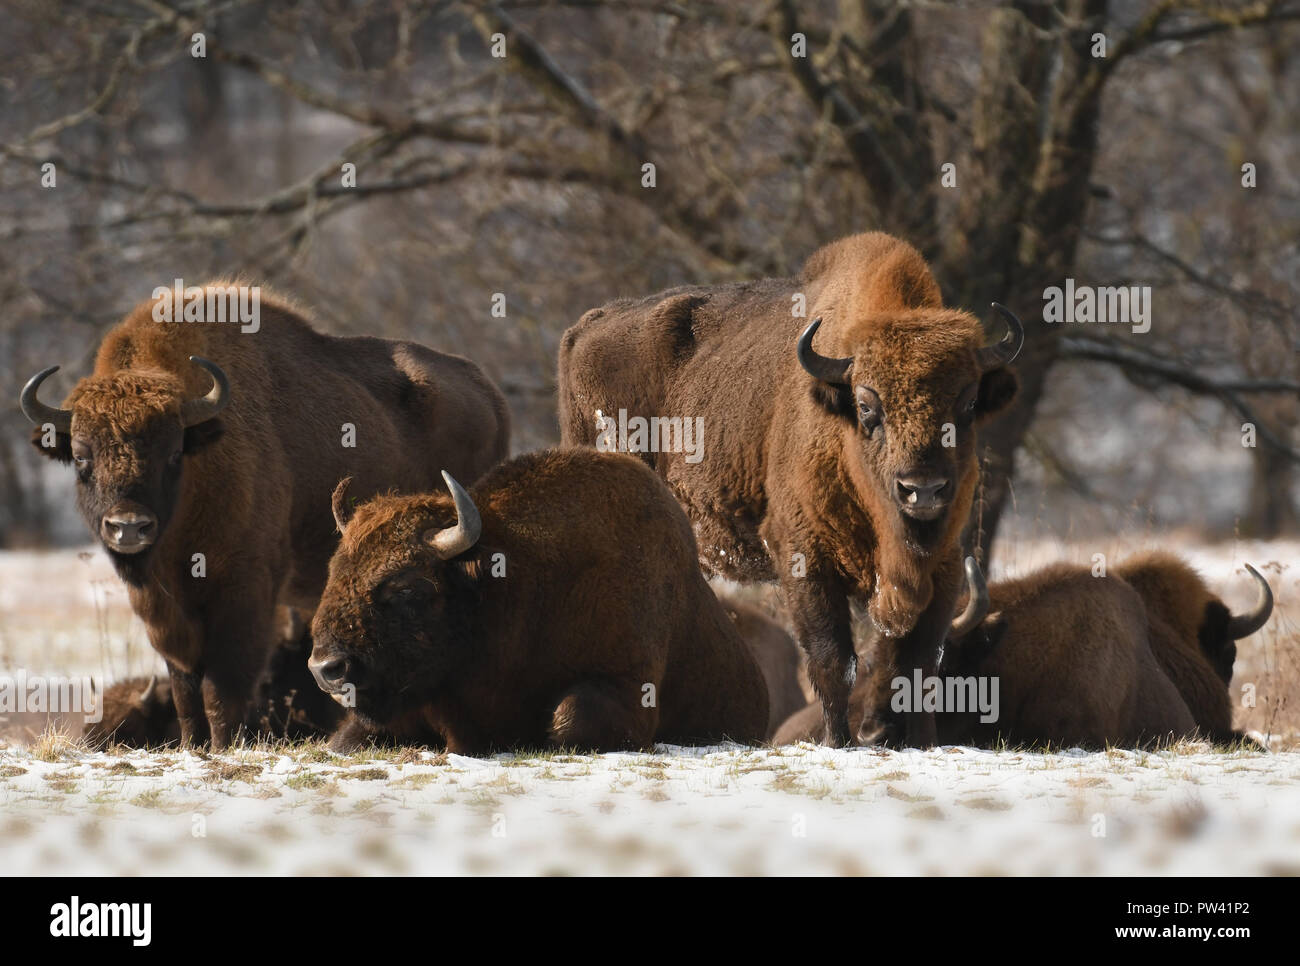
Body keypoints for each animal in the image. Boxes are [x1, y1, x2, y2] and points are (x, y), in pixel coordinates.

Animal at [22, 282, 509, 748]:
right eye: (81, 456)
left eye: (173, 453)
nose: (128, 526)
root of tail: (488, 392)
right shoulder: (167, 615)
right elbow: (185, 690)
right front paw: (193, 745)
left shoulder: (246, 594)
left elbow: (223, 688)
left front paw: (223, 745)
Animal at [307, 447, 769, 754]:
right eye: (334, 572)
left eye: (408, 587)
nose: (326, 668)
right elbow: (346, 739)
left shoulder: (627, 686)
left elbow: (568, 722)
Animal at [557, 231, 1021, 747]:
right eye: (867, 406)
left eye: (969, 402)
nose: (922, 488)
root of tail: (585, 329)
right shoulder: (804, 558)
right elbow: (833, 660)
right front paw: (838, 741)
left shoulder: (942, 568)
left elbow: (919, 662)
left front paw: (922, 742)